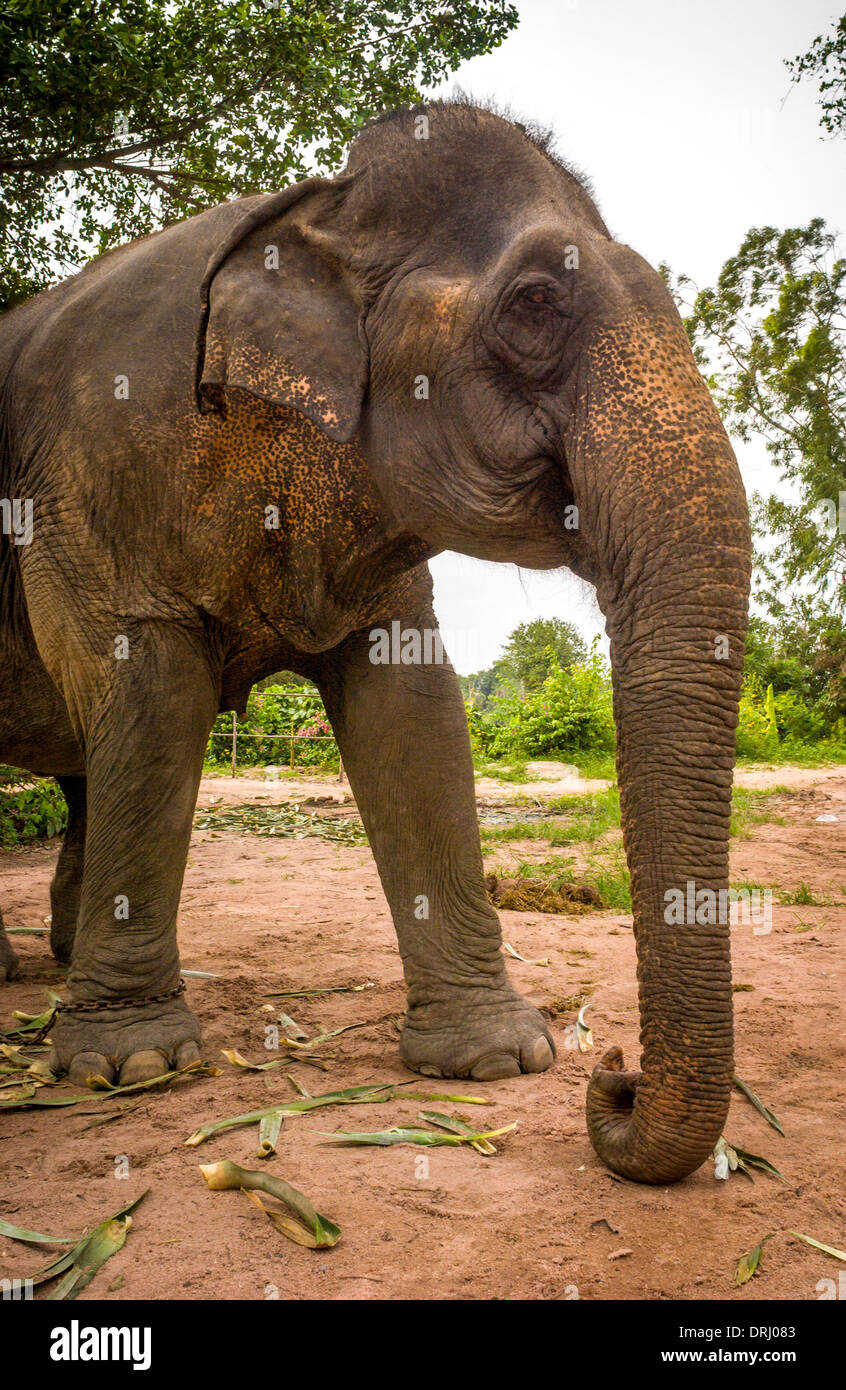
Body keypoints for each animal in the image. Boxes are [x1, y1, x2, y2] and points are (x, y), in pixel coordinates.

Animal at [0, 100, 750, 1184]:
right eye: (533, 303)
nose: (613, 1075)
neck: (315, 211)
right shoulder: (97, 472)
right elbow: (153, 696)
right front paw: (128, 1067)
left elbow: (417, 711)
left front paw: (496, 1058)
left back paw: (56, 965)